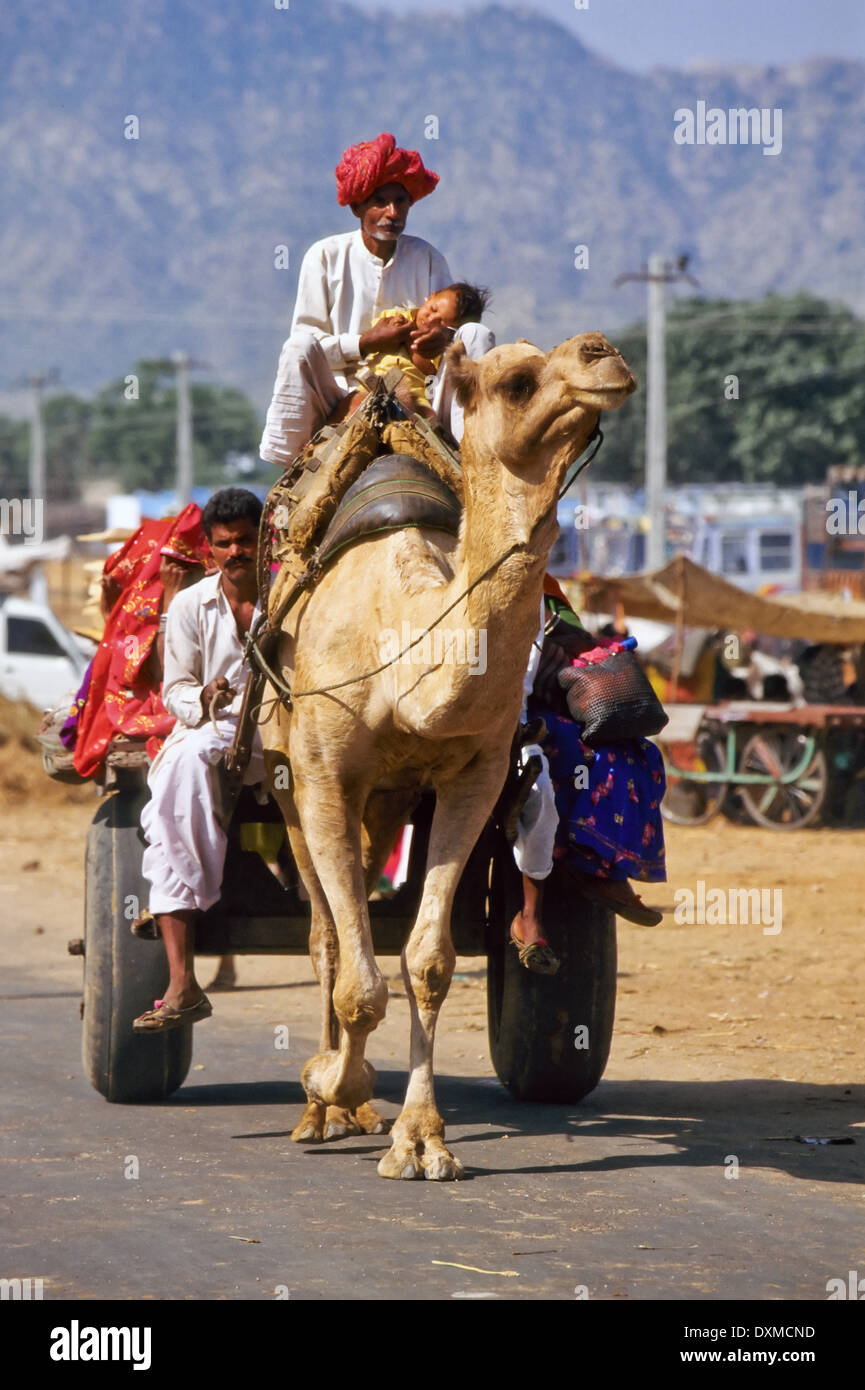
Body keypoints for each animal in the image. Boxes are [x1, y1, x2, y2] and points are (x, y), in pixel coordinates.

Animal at [259, 331, 637, 1180]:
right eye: (518, 379)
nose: (604, 353)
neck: (404, 643)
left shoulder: (474, 776)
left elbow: (425, 961)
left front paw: (420, 1139)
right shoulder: (323, 775)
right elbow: (355, 974)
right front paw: (328, 1081)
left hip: (389, 800)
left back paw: (355, 1106)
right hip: (288, 780)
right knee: (325, 935)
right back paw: (320, 1106)